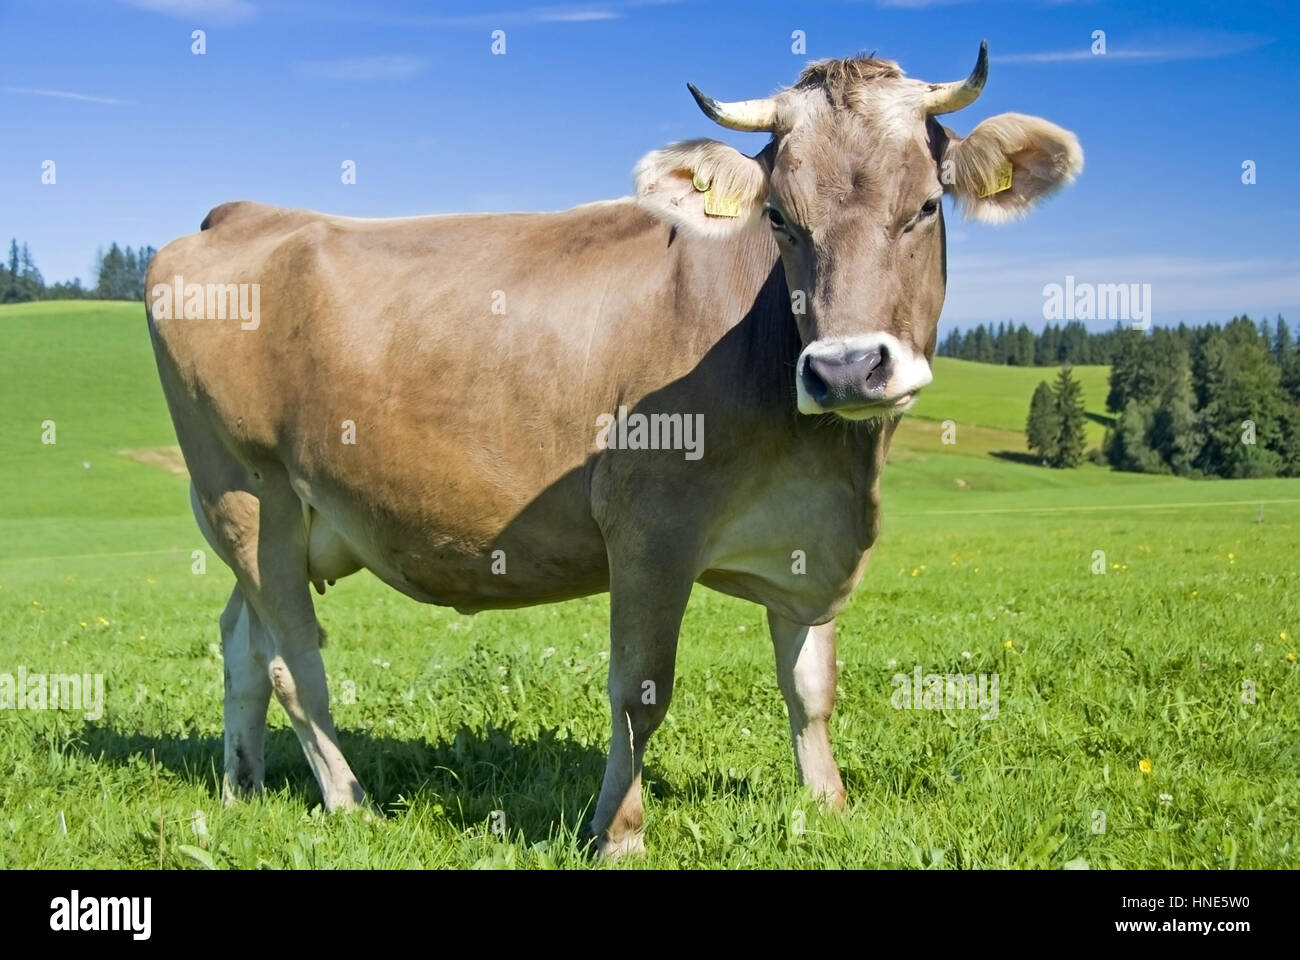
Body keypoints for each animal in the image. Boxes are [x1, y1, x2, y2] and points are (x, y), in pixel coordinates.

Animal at [146, 42, 1082, 857]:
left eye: (924, 206)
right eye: (781, 217)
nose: (847, 367)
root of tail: (241, 212)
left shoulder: (809, 536)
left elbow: (812, 688)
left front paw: (830, 807)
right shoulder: (649, 527)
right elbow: (640, 690)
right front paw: (618, 832)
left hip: (293, 520)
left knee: (242, 640)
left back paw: (242, 789)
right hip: (246, 490)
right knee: (292, 660)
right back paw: (349, 801)